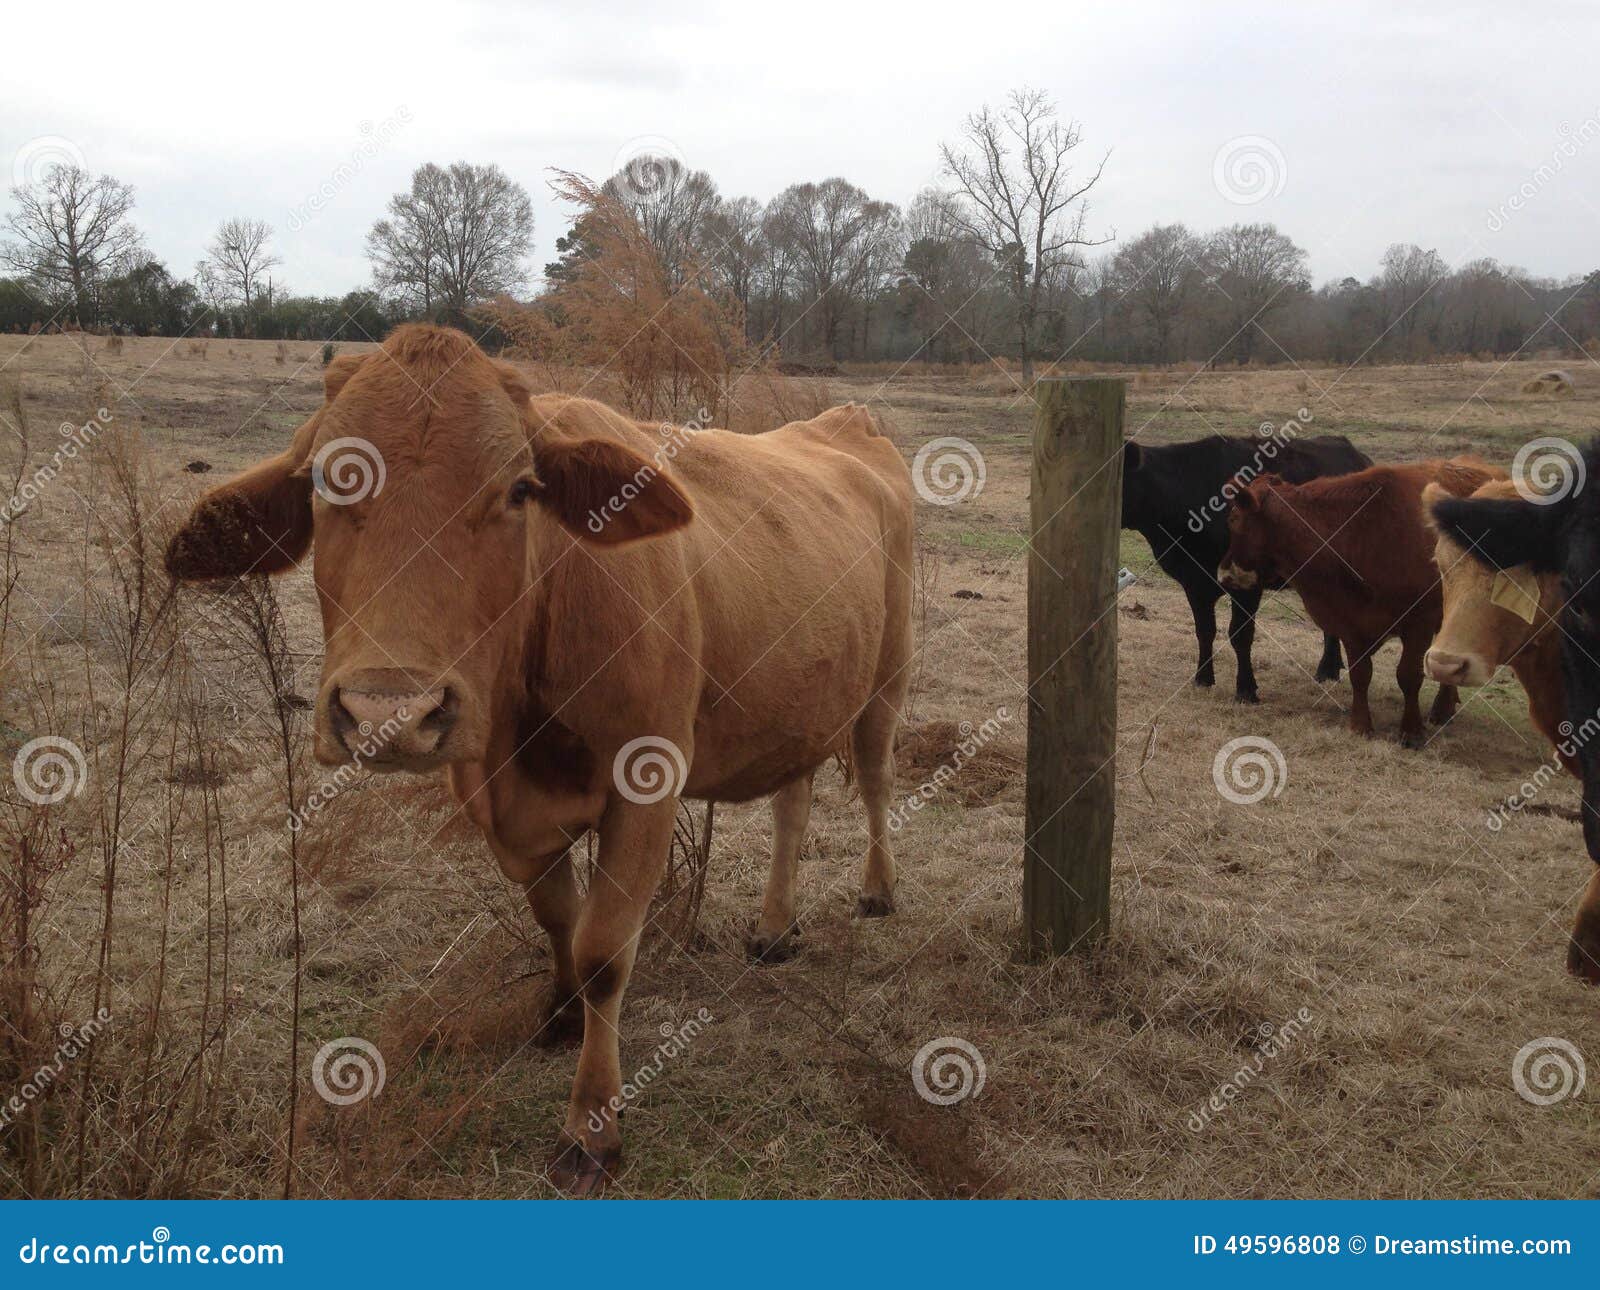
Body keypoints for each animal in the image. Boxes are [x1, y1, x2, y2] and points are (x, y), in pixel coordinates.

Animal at [164, 324, 916, 1191]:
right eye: (325, 477)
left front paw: (591, 1125)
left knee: (878, 781)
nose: (389, 713)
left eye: (521, 489)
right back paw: (773, 926)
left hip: (888, 680)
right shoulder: (496, 799)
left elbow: (602, 951)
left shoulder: (648, 785)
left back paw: (877, 889)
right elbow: (556, 912)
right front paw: (557, 1014)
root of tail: (846, 422)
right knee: (793, 800)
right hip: (804, 697)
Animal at [1120, 433, 1371, 703]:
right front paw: (1203, 679)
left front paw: (1246, 690)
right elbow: (1205, 630)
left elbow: (1240, 635)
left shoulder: (1246, 584)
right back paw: (1329, 669)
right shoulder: (1195, 584)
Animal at [1217, 459, 1503, 745]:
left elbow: (1409, 676)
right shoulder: (1351, 622)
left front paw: (1411, 731)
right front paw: (1360, 725)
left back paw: (1442, 708)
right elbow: (1360, 674)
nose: (1223, 573)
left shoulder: (1418, 623)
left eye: (1232, 519)